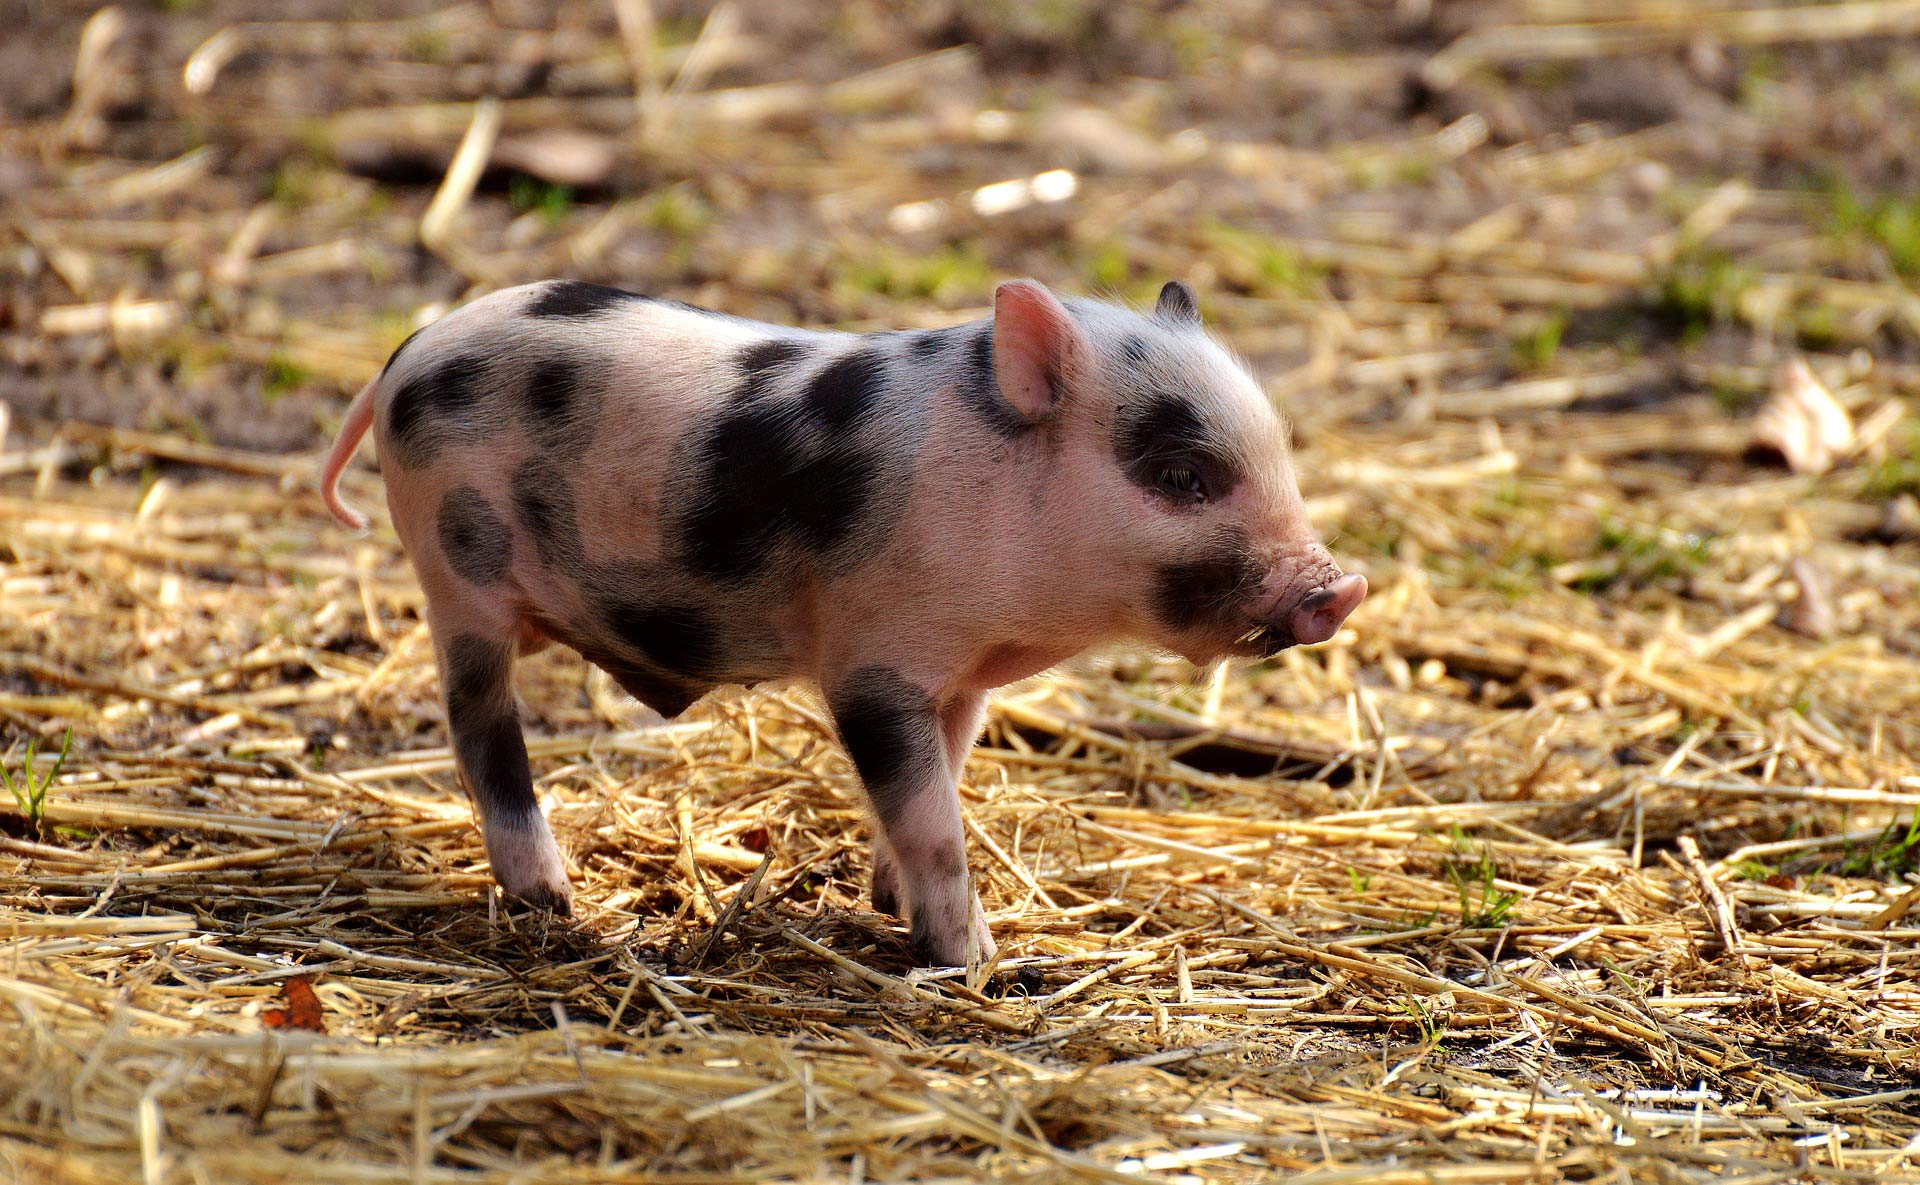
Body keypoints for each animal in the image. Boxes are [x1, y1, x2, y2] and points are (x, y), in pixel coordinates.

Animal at [318, 278, 1365, 966]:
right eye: (1181, 475)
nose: (1341, 585)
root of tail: (408, 353)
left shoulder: (960, 675)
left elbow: (942, 779)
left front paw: (887, 898)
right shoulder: (874, 663)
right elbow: (930, 812)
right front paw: (973, 958)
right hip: (458, 573)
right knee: (479, 727)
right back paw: (553, 902)